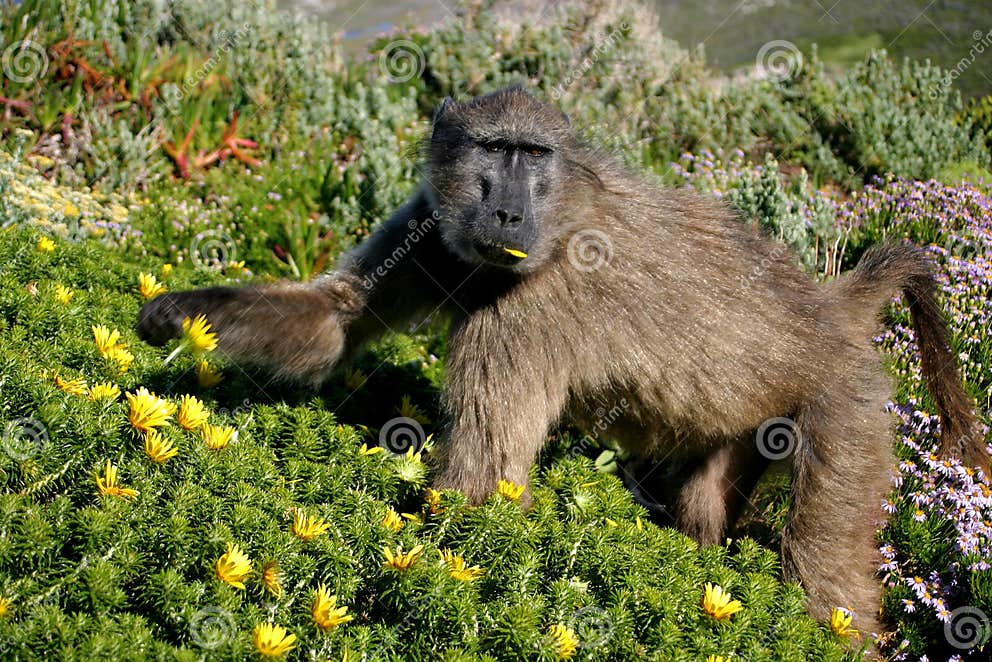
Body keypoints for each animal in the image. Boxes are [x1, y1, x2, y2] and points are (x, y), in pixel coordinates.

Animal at [137, 86, 987, 636]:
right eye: (494, 148)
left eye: (533, 155)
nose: (508, 213)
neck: (559, 213)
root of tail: (828, 311)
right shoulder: (426, 225)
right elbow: (335, 318)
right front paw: (177, 315)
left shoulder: (529, 311)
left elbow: (482, 485)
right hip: (751, 424)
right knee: (704, 505)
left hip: (846, 407)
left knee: (824, 576)